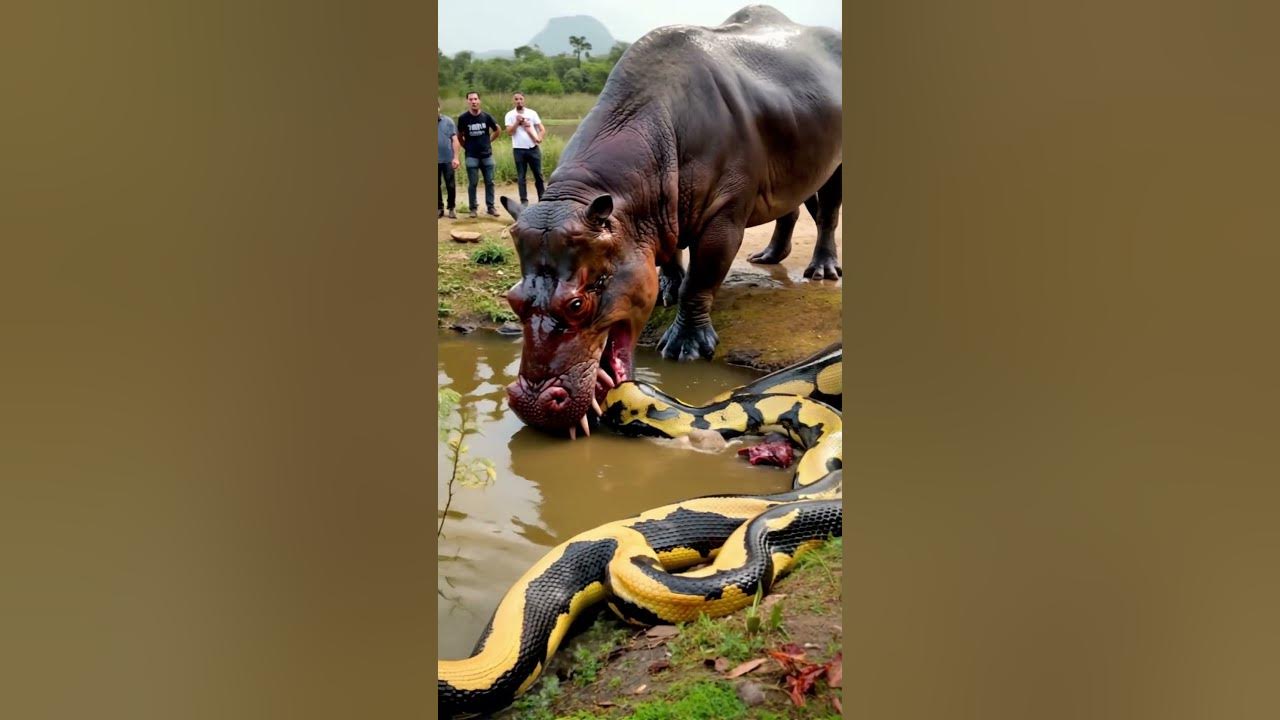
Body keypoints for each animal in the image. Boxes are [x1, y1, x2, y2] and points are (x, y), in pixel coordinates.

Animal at [501, 5, 842, 436]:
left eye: (577, 304)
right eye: (512, 298)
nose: (531, 404)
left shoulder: (724, 212)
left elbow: (702, 277)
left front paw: (683, 349)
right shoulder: (658, 215)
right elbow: (669, 257)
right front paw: (667, 290)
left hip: (833, 163)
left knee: (828, 210)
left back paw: (823, 272)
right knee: (790, 205)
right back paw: (766, 258)